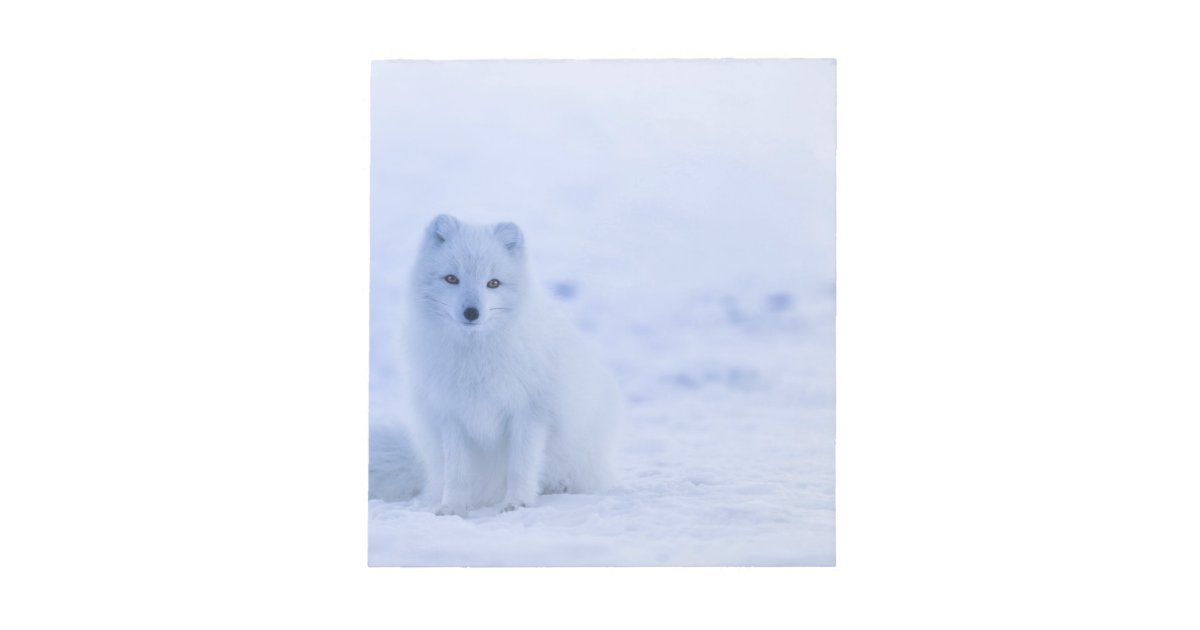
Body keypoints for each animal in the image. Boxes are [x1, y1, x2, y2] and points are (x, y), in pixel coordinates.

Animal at [403, 214, 621, 516]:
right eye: (451, 279)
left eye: (493, 283)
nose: (472, 312)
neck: (477, 358)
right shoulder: (451, 415)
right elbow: (457, 472)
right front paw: (452, 507)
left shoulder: (529, 413)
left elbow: (521, 465)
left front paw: (517, 503)